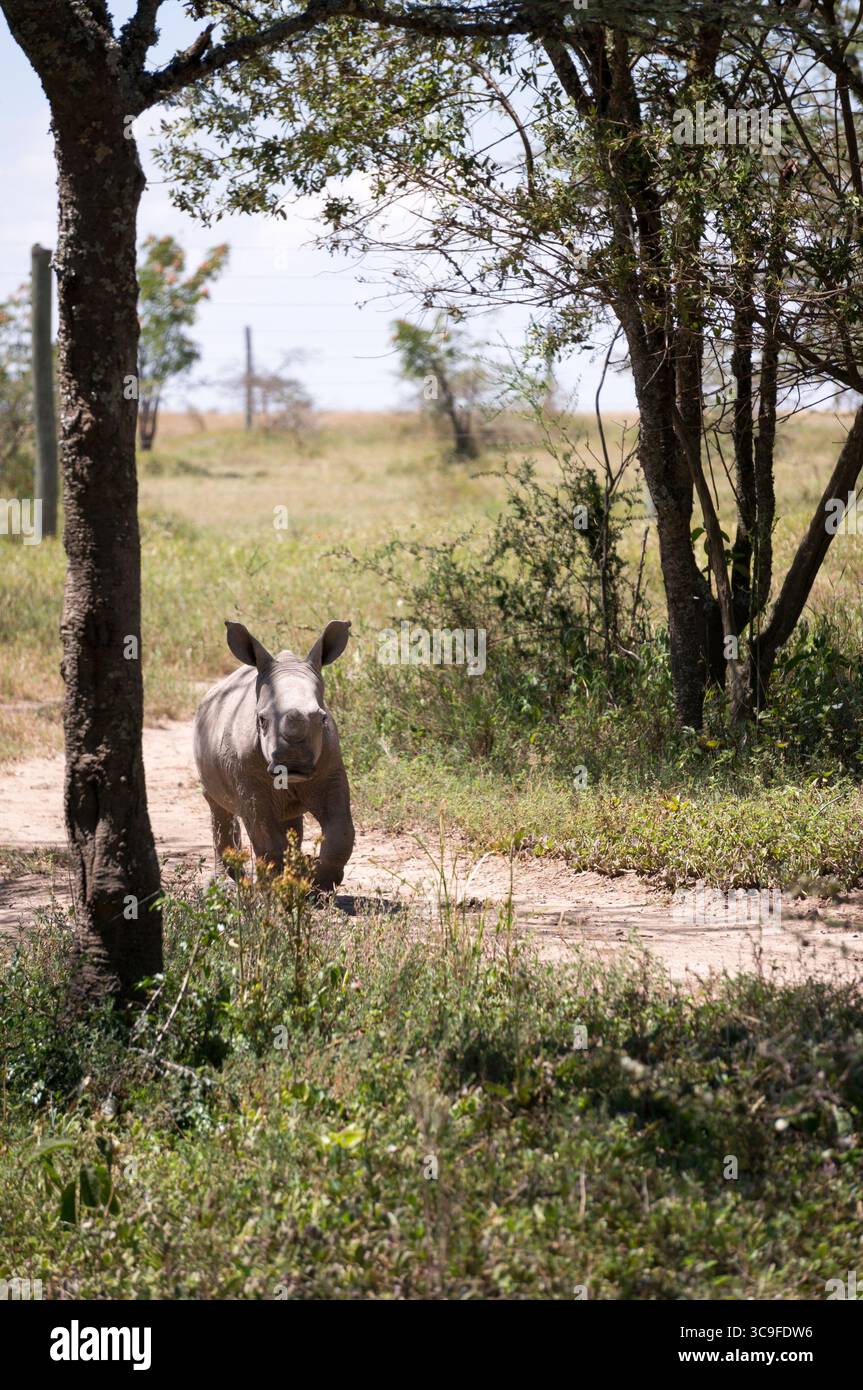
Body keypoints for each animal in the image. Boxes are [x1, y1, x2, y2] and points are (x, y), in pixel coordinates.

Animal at [194, 619, 355, 891]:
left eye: (323, 718)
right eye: (261, 720)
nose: (293, 763)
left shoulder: (330, 770)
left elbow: (341, 831)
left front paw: (319, 885)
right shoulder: (247, 779)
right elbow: (266, 837)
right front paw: (278, 887)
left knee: (289, 818)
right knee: (217, 806)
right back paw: (227, 885)